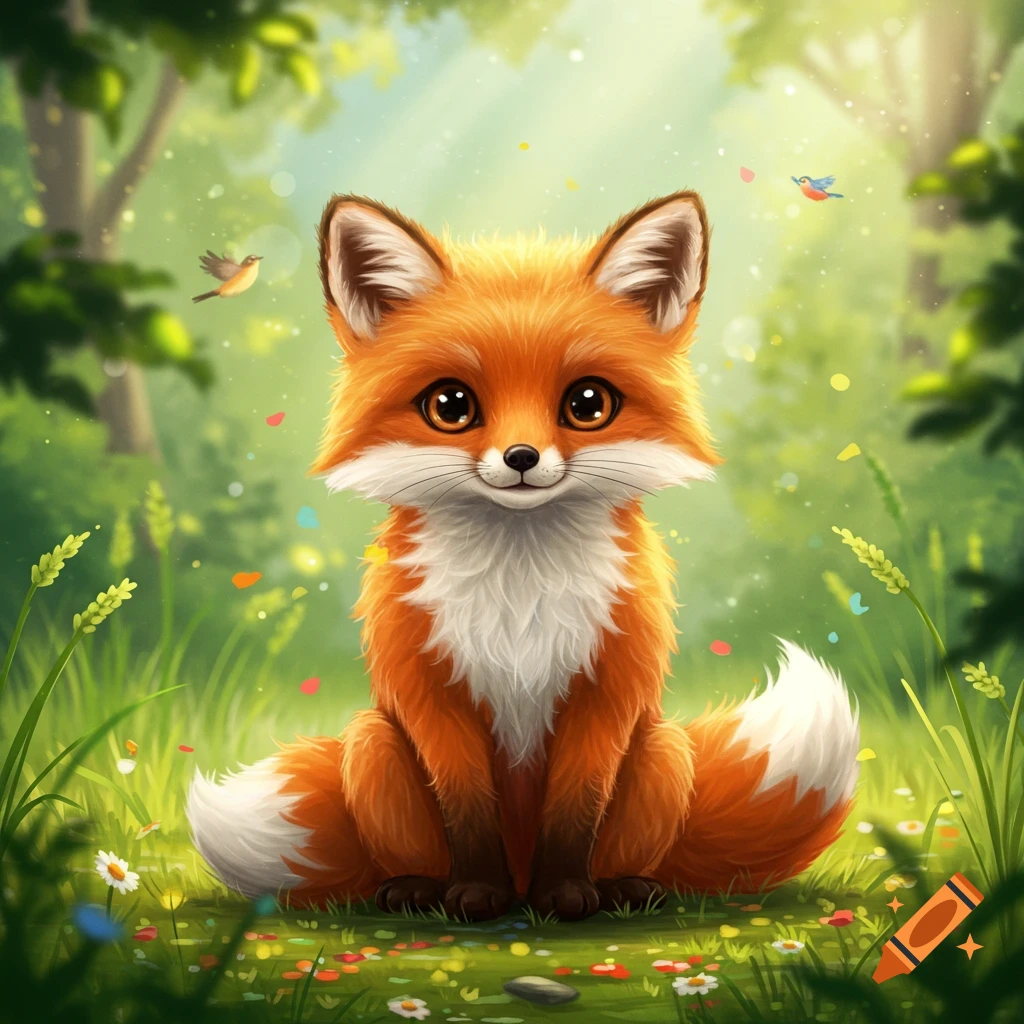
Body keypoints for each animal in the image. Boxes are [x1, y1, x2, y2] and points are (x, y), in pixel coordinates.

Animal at [187, 190, 860, 921]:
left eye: (587, 403)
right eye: (451, 404)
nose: (521, 458)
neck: (519, 590)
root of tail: (520, 872)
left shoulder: (605, 693)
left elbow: (575, 810)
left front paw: (566, 894)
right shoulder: (433, 695)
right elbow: (467, 810)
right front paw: (474, 893)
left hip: (662, 749)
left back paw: (619, 888)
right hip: (371, 743)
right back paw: (423, 888)